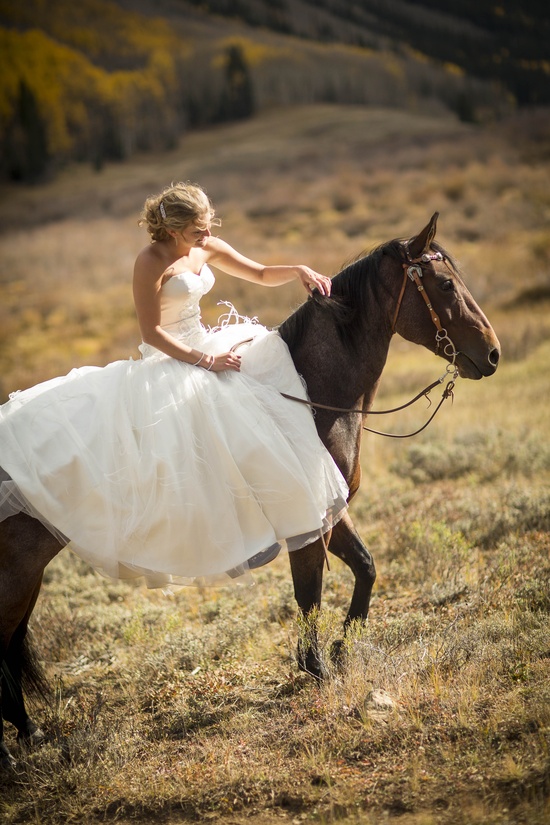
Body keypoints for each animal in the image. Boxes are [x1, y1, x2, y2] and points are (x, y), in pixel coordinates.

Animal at [0, 213, 500, 768]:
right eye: (446, 285)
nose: (493, 354)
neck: (310, 390)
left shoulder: (326, 508)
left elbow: (366, 568)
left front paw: (344, 650)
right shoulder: (307, 514)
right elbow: (309, 594)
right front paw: (317, 669)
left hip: (27, 573)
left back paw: (28, 734)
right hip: (16, 572)